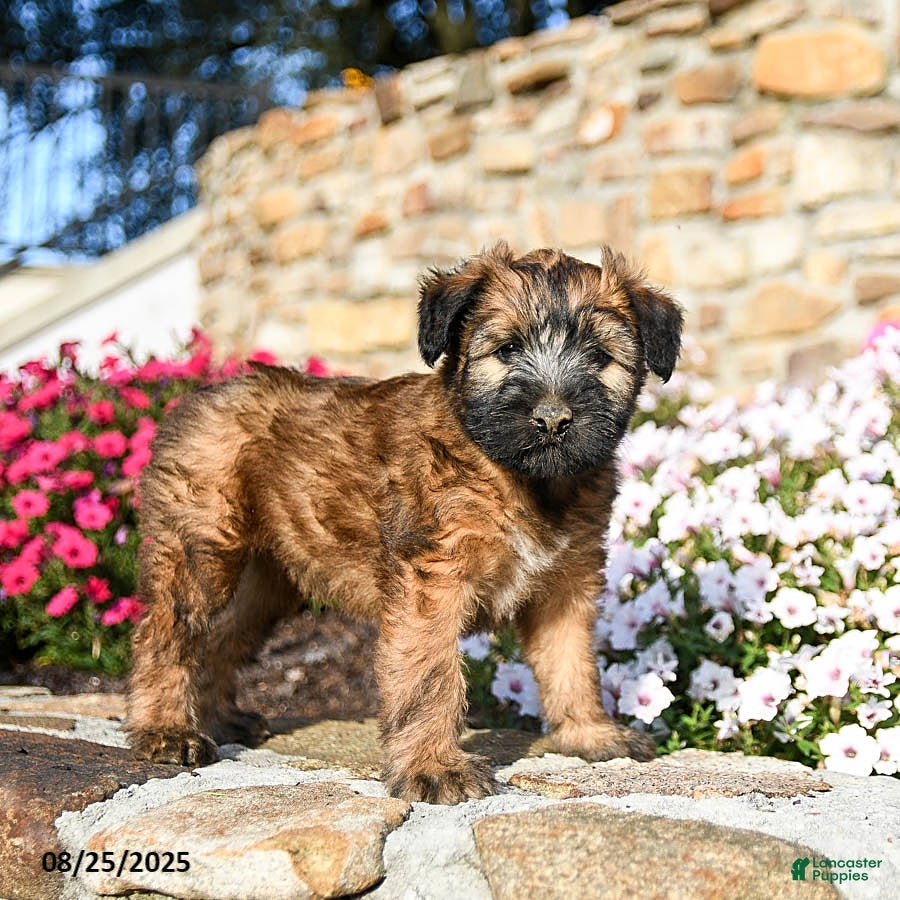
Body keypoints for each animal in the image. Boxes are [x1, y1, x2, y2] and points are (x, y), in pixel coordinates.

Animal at [127, 242, 683, 804]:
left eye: (600, 357)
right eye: (507, 349)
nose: (552, 420)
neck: (521, 480)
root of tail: (202, 395)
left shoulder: (567, 584)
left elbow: (573, 664)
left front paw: (590, 735)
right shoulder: (432, 579)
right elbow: (430, 676)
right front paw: (433, 768)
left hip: (266, 581)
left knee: (222, 638)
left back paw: (219, 719)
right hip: (201, 549)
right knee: (166, 635)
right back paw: (167, 730)